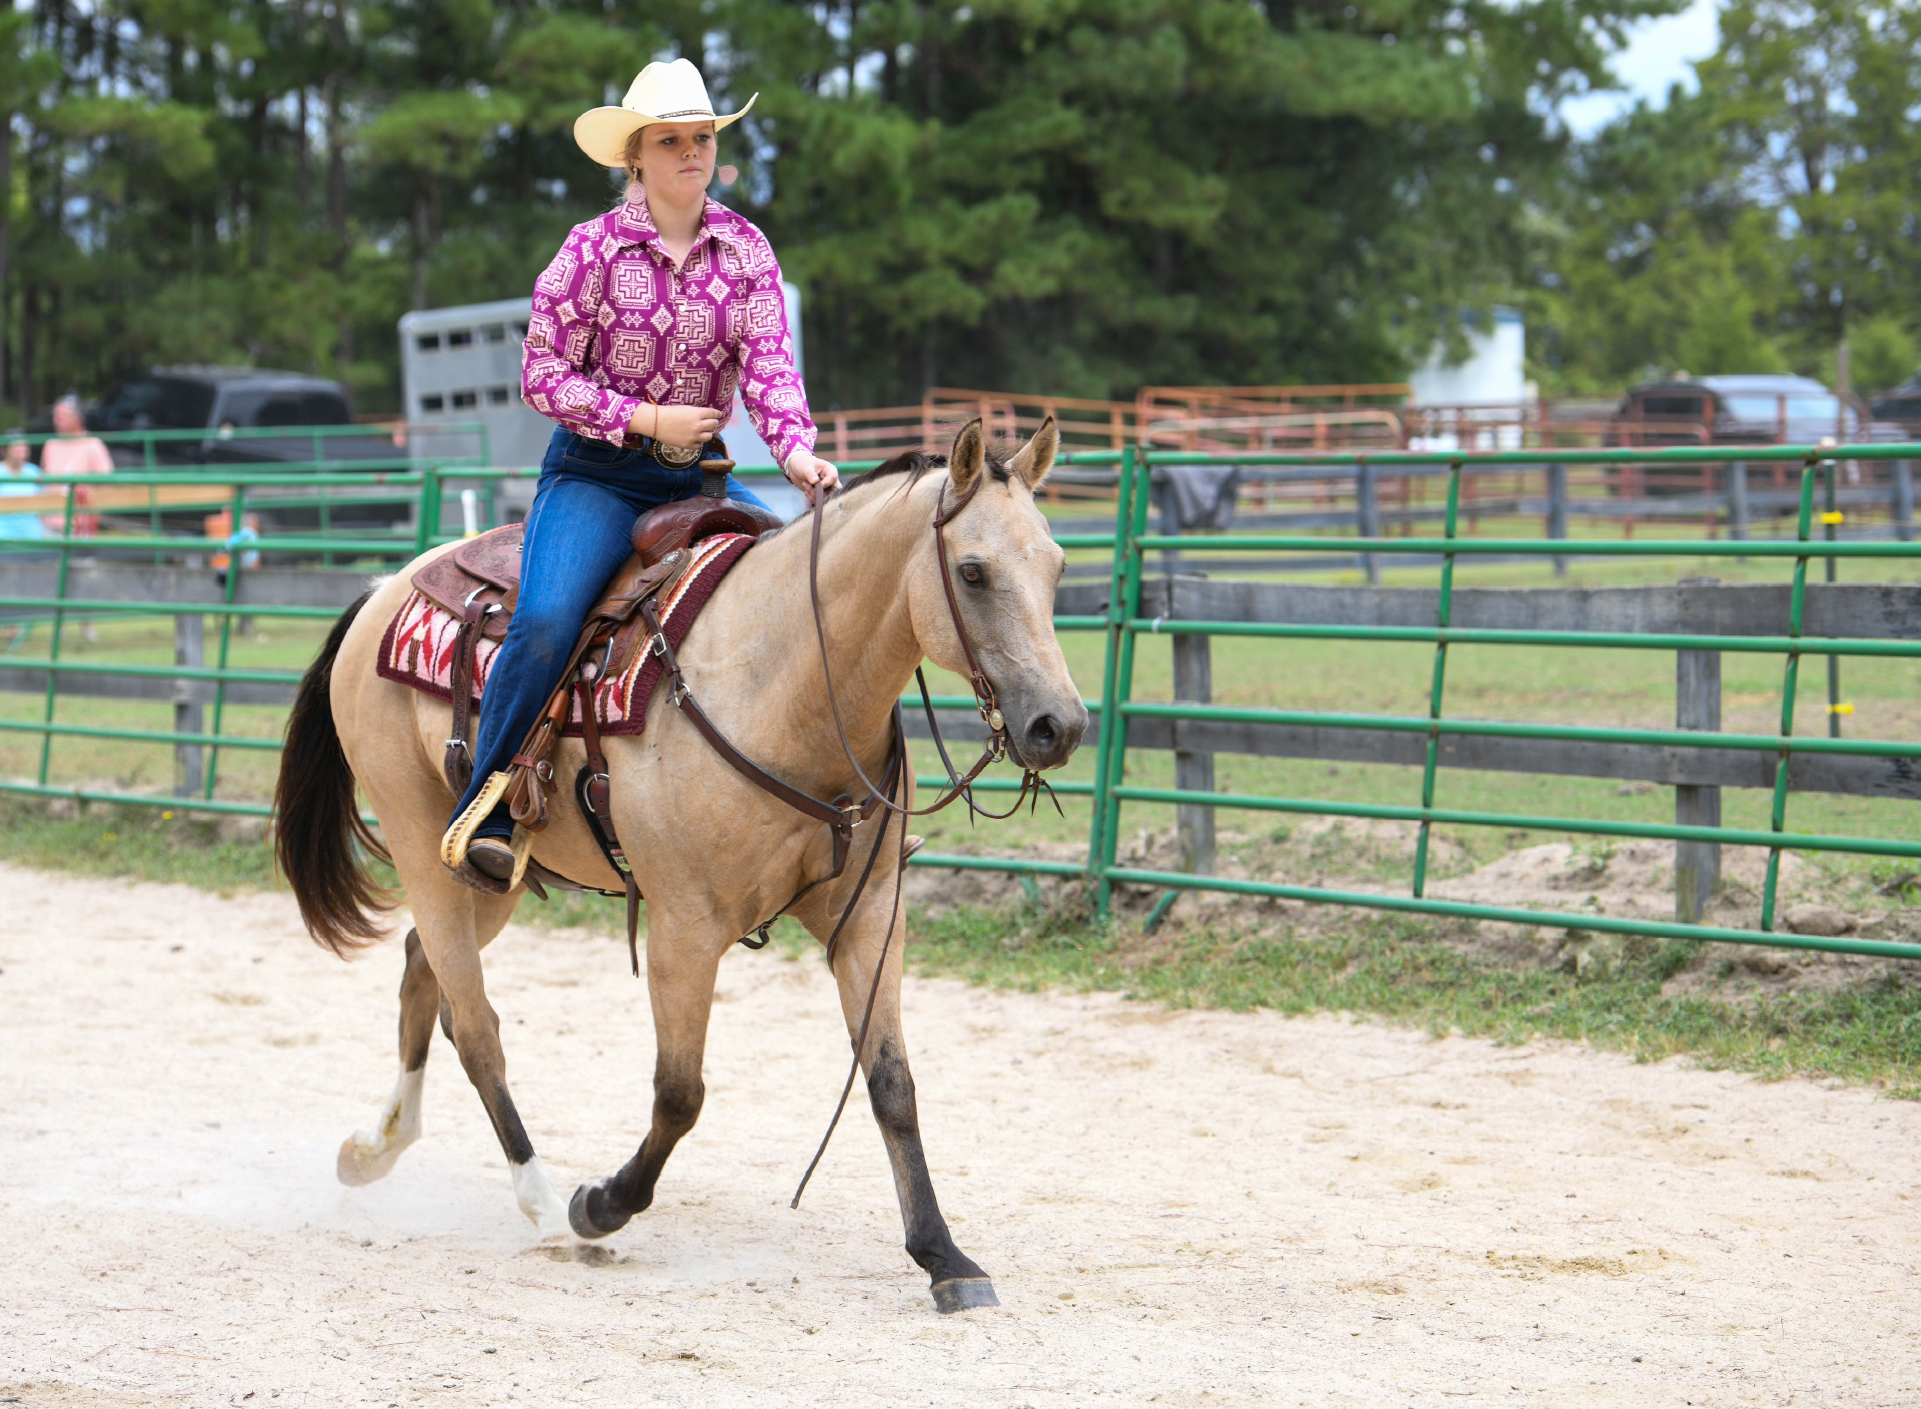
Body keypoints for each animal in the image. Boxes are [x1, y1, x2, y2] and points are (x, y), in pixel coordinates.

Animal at [273, 418, 1087, 1312]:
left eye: (1056, 566)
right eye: (972, 571)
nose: (1059, 725)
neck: (781, 684)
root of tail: (386, 588)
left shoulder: (870, 916)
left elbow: (892, 1085)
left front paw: (945, 1256)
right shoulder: (684, 932)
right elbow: (679, 1094)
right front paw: (599, 1203)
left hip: (486, 876)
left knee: (430, 975)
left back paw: (373, 1147)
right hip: (424, 841)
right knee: (479, 1025)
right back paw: (545, 1204)